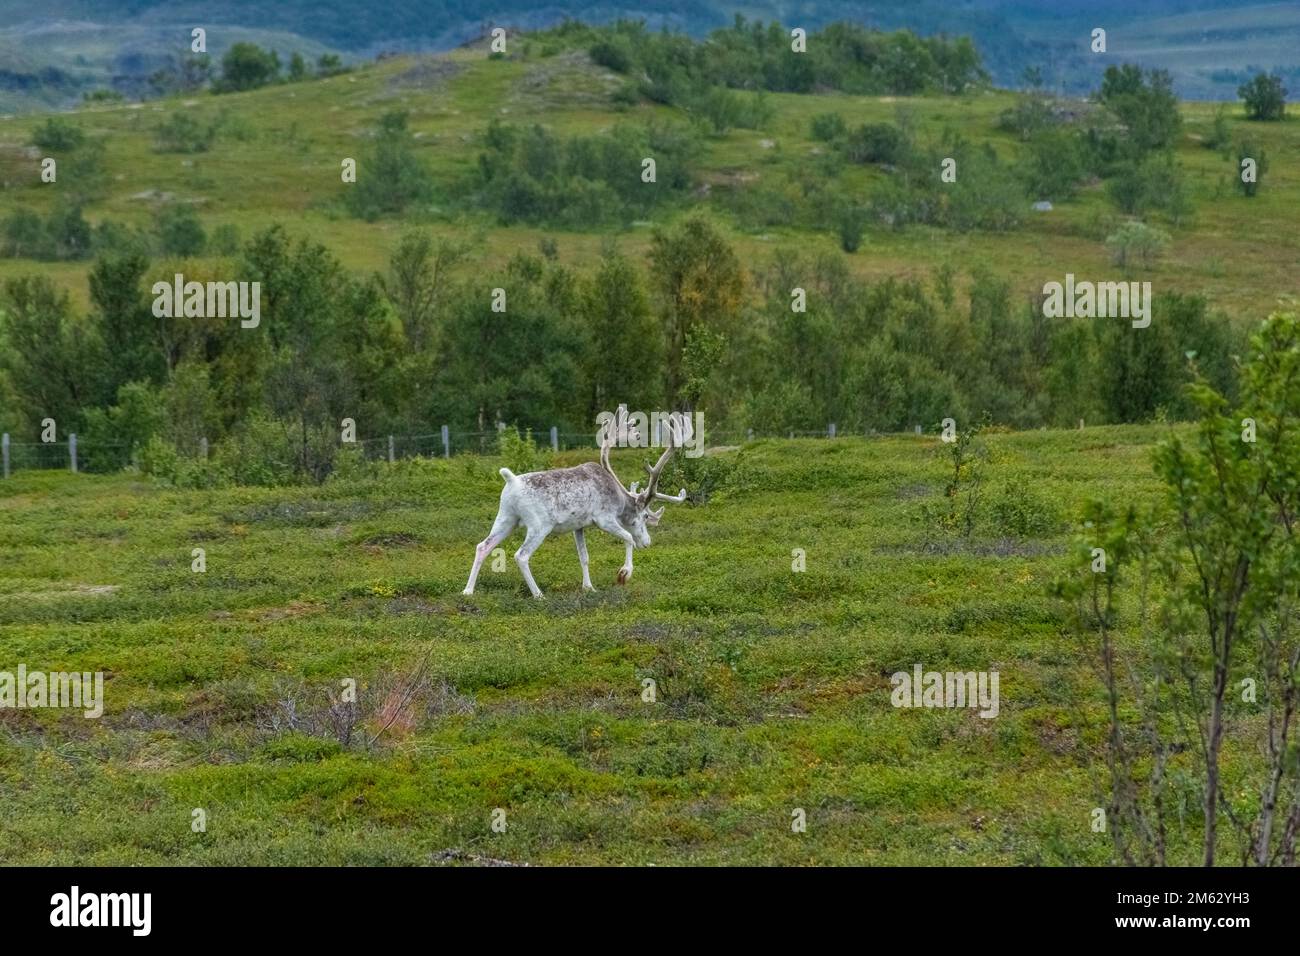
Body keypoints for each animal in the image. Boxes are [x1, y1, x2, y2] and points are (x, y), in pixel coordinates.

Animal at [461, 418, 689, 599]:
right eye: (644, 517)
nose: (648, 542)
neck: (619, 500)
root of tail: (511, 481)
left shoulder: (578, 526)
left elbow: (584, 556)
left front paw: (589, 587)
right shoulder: (604, 518)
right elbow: (627, 537)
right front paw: (624, 574)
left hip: (506, 517)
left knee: (483, 546)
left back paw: (468, 590)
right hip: (538, 525)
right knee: (521, 555)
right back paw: (538, 594)